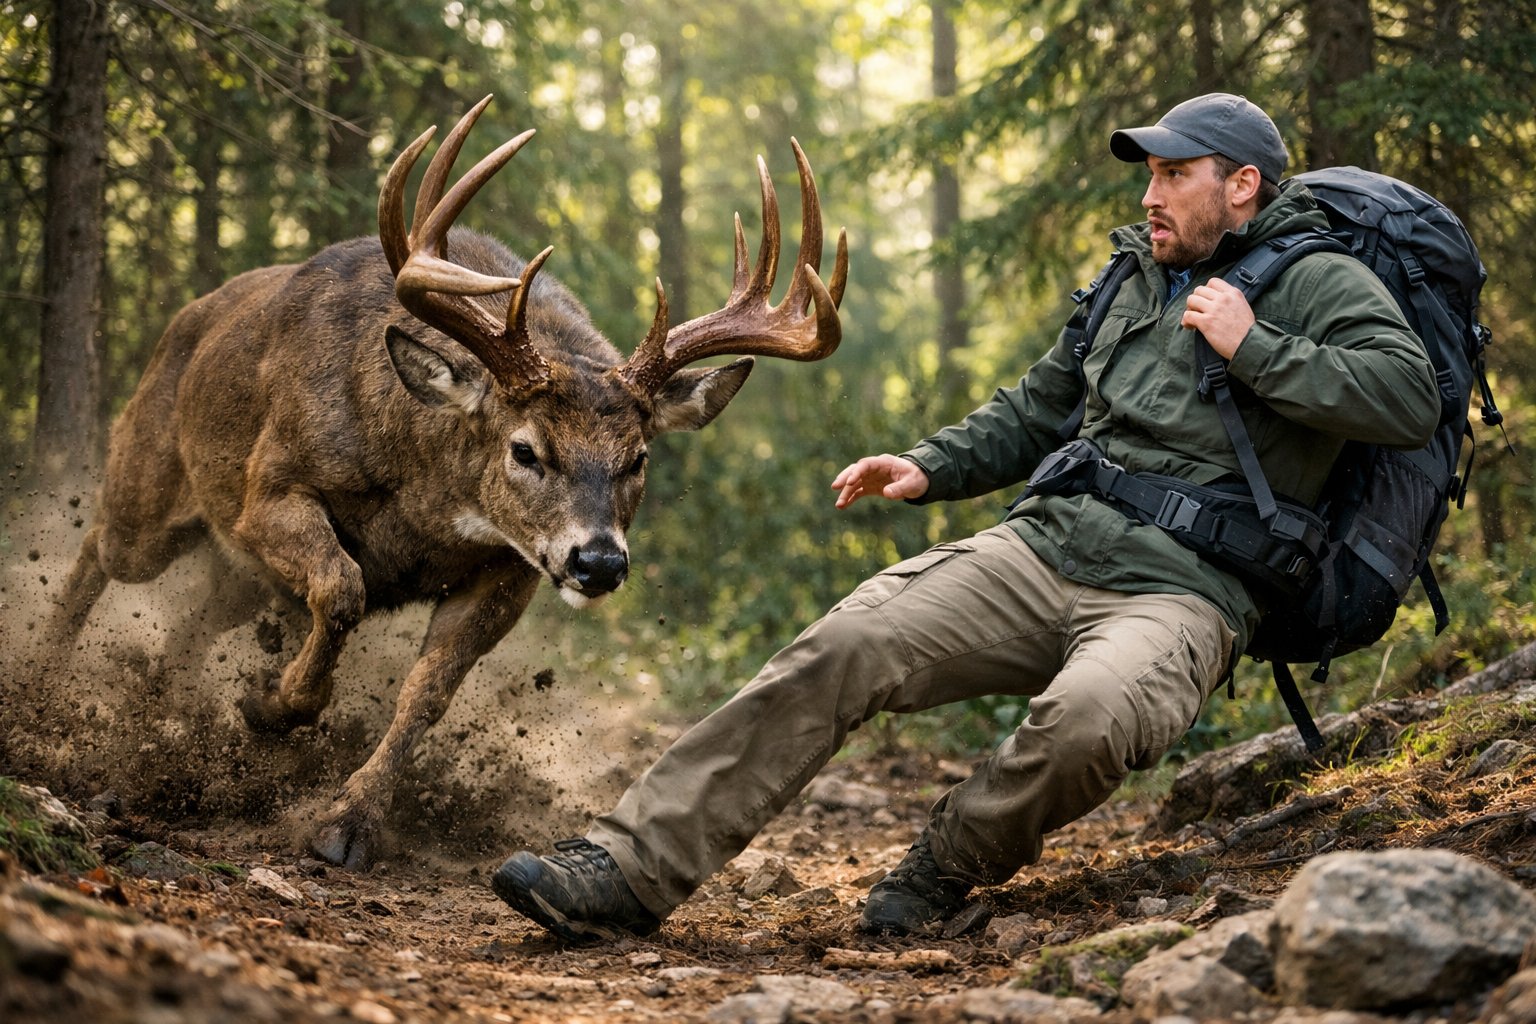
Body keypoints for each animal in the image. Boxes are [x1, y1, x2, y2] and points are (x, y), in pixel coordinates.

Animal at [46, 95, 847, 868]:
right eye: (526, 450)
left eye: (638, 458)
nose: (599, 562)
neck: (424, 503)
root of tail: (188, 319)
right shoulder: (268, 488)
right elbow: (342, 587)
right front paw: (275, 708)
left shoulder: (506, 567)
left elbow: (429, 693)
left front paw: (343, 822)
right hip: (157, 490)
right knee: (98, 546)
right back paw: (45, 683)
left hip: (240, 577)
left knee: (190, 619)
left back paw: (155, 701)